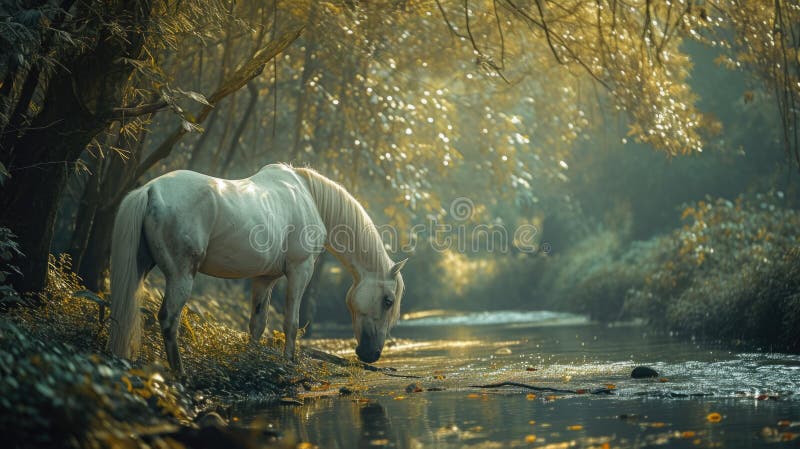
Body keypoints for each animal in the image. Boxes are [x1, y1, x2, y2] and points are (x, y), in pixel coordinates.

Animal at [108, 163, 407, 374]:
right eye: (388, 300)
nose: (371, 355)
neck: (307, 196)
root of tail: (150, 190)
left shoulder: (265, 278)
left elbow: (257, 323)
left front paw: (252, 360)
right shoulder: (300, 270)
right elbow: (291, 321)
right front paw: (289, 363)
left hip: (142, 268)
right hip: (181, 276)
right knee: (169, 319)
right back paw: (181, 374)